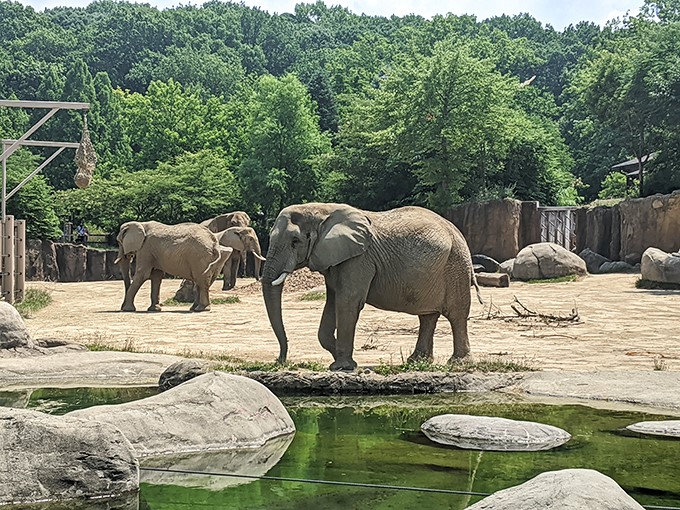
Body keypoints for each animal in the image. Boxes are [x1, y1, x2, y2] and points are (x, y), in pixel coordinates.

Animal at [262, 203, 481, 371]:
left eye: (295, 241)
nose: (280, 360)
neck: (321, 210)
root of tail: (458, 233)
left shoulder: (359, 259)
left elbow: (348, 301)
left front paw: (342, 366)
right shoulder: (336, 260)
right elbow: (333, 301)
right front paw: (341, 358)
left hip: (456, 266)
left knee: (456, 314)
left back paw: (458, 364)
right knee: (428, 317)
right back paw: (417, 361)